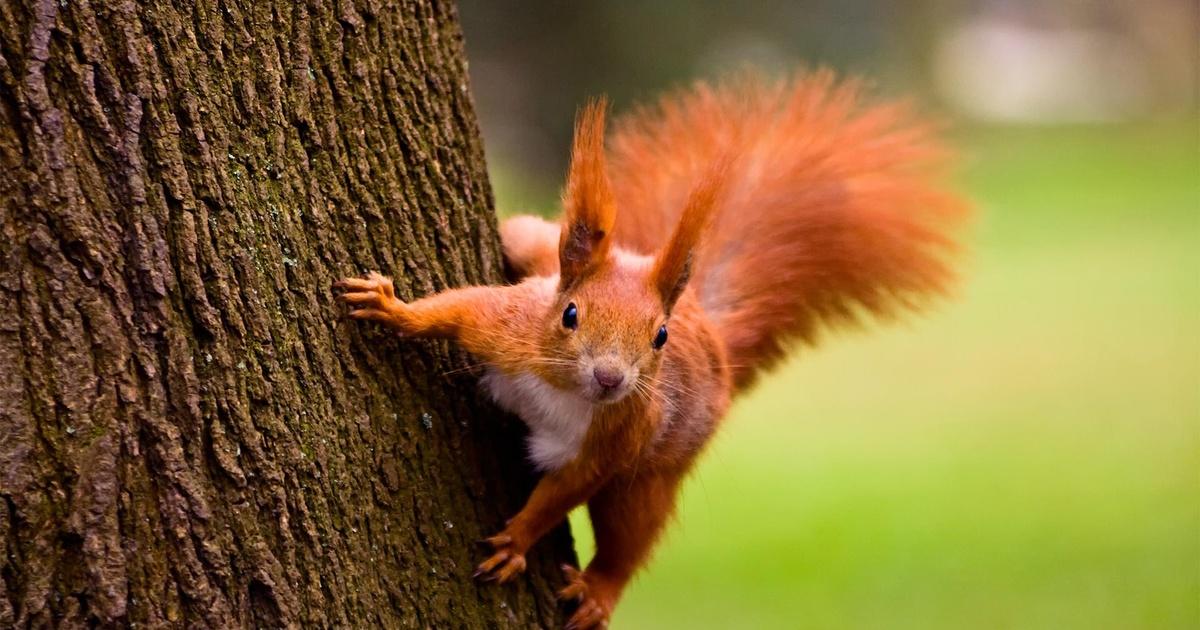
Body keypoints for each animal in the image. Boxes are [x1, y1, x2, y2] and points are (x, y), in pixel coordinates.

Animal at [335, 71, 967, 629]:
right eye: (570, 315)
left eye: (659, 336)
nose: (611, 378)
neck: (563, 389)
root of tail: (712, 337)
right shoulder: (508, 328)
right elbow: (457, 310)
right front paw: (392, 307)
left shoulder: (616, 440)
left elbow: (562, 493)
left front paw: (517, 541)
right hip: (534, 247)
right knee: (526, 238)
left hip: (653, 475)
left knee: (630, 535)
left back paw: (599, 592)